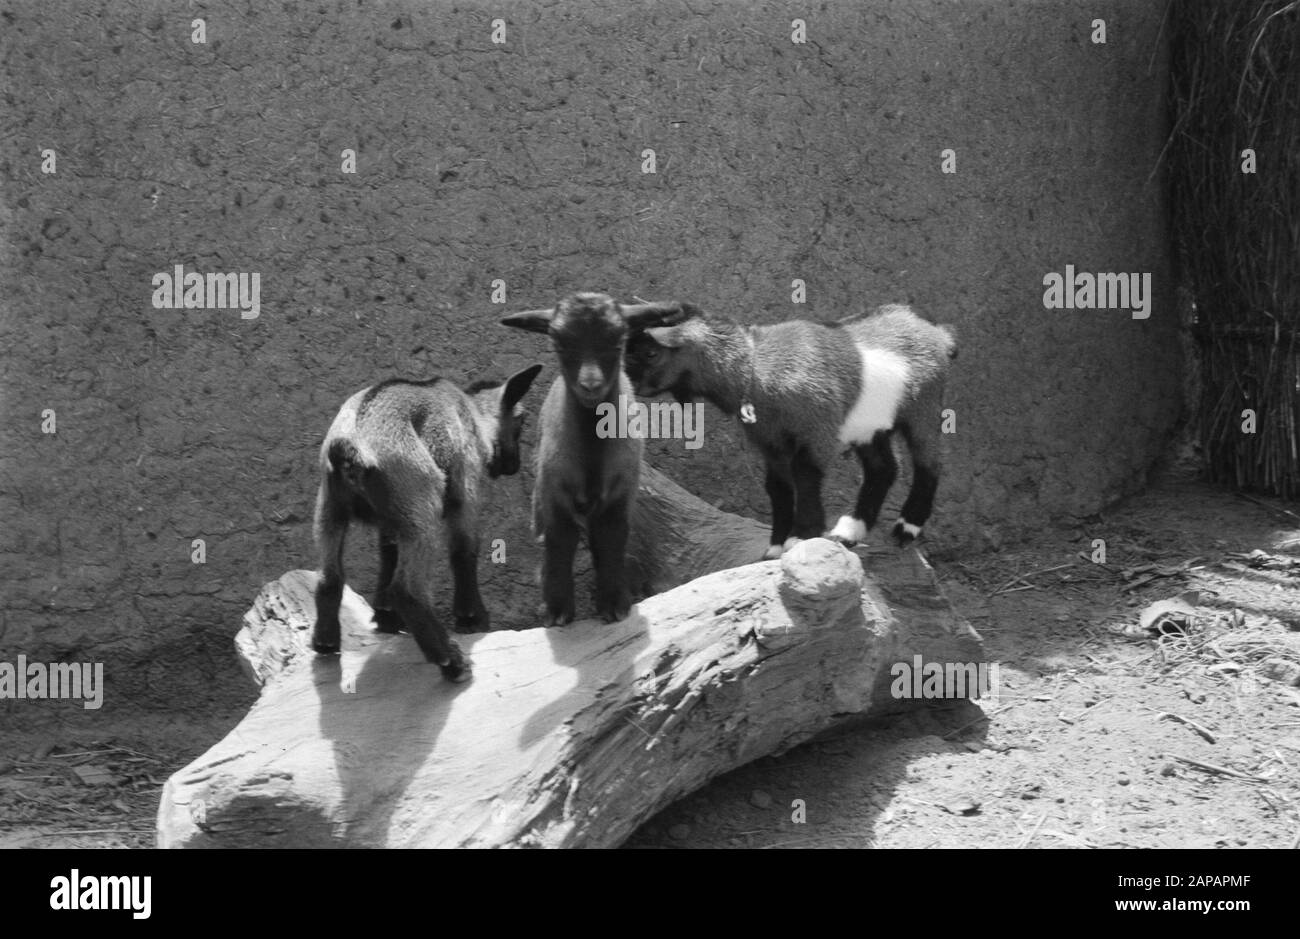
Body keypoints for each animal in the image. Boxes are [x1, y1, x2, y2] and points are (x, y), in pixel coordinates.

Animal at [312, 363, 543, 682]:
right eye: (521, 420)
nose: (513, 465)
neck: (471, 413)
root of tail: (351, 443)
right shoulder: (465, 493)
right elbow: (464, 552)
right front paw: (471, 618)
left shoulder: (390, 521)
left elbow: (388, 554)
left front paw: (385, 617)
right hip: (422, 504)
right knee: (407, 589)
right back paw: (450, 661)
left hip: (331, 508)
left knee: (330, 576)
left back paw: (326, 642)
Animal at [501, 293, 676, 627]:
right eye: (559, 342)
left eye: (618, 342)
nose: (590, 385)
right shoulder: (553, 490)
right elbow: (560, 540)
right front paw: (557, 610)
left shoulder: (621, 492)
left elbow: (611, 539)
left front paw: (614, 605)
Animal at [623, 302, 957, 558]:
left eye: (651, 353)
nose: (629, 383)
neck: (757, 369)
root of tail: (938, 334)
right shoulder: (770, 441)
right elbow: (778, 486)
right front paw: (775, 546)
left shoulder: (818, 431)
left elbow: (805, 474)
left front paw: (803, 535)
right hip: (871, 425)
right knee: (884, 469)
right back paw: (849, 531)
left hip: (923, 408)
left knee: (929, 463)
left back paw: (906, 527)